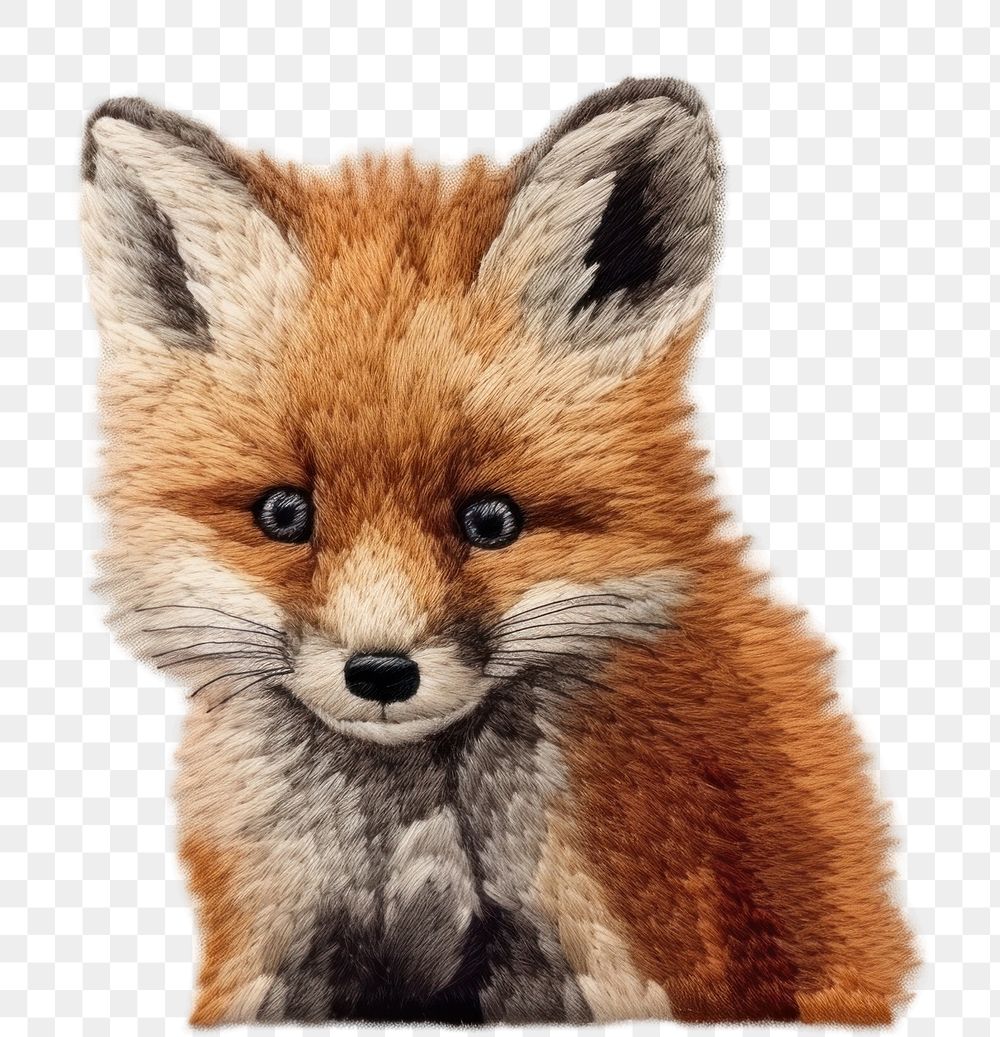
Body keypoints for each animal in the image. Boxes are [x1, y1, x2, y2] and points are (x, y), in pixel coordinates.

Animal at [80, 78, 916, 1026]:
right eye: (285, 511)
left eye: (490, 520)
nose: (381, 672)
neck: (414, 831)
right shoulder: (279, 942)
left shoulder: (605, 943)